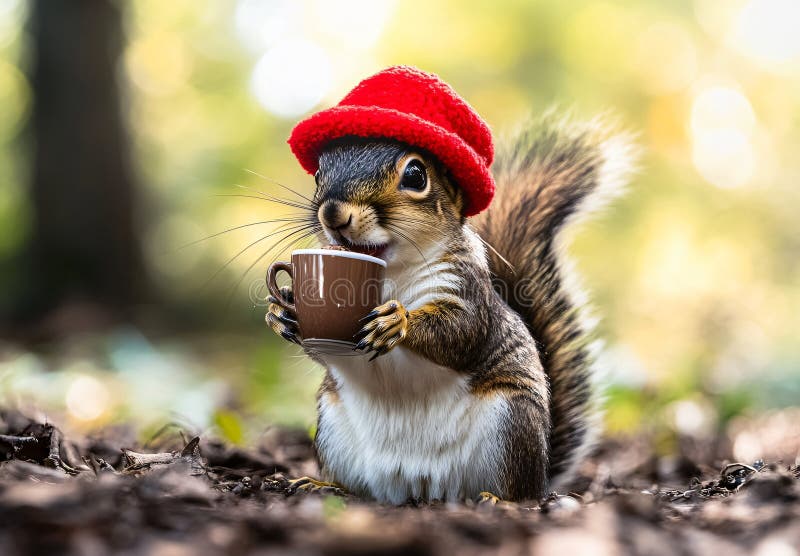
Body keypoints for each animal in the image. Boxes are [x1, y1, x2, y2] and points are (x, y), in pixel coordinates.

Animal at [266, 67, 635, 503]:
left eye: (415, 175)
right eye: (320, 173)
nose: (333, 212)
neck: (391, 273)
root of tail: (423, 488)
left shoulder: (466, 289)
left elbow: (462, 332)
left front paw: (399, 321)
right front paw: (283, 312)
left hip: (511, 424)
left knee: (518, 489)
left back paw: (496, 497)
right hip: (332, 425)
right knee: (357, 487)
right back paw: (325, 484)